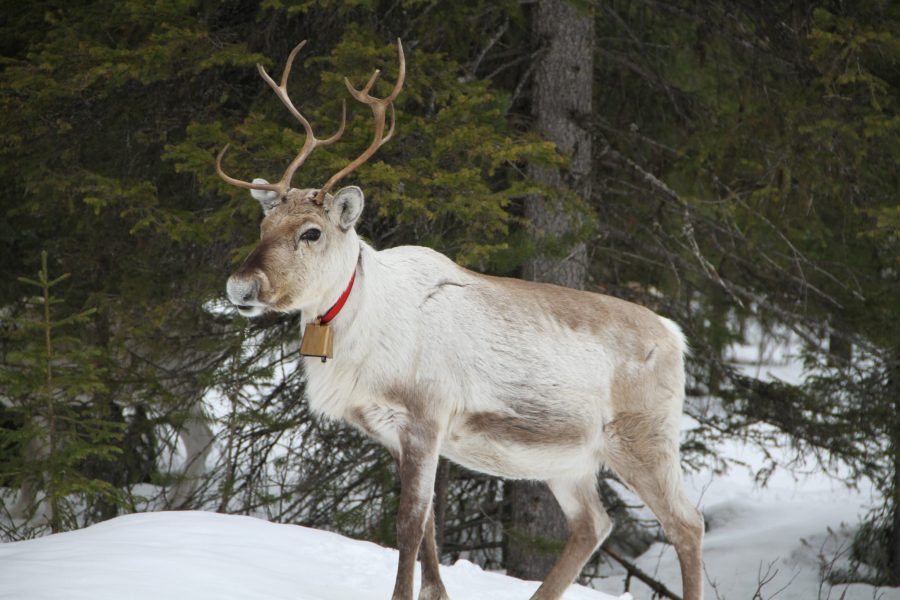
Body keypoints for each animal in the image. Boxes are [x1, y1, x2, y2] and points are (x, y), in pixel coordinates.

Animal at [218, 40, 704, 600]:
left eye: (312, 232)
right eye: (264, 225)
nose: (240, 287)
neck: (363, 335)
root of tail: (676, 336)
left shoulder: (427, 415)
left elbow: (409, 524)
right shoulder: (392, 430)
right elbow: (429, 524)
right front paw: (437, 593)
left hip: (644, 436)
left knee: (686, 524)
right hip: (569, 458)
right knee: (593, 524)